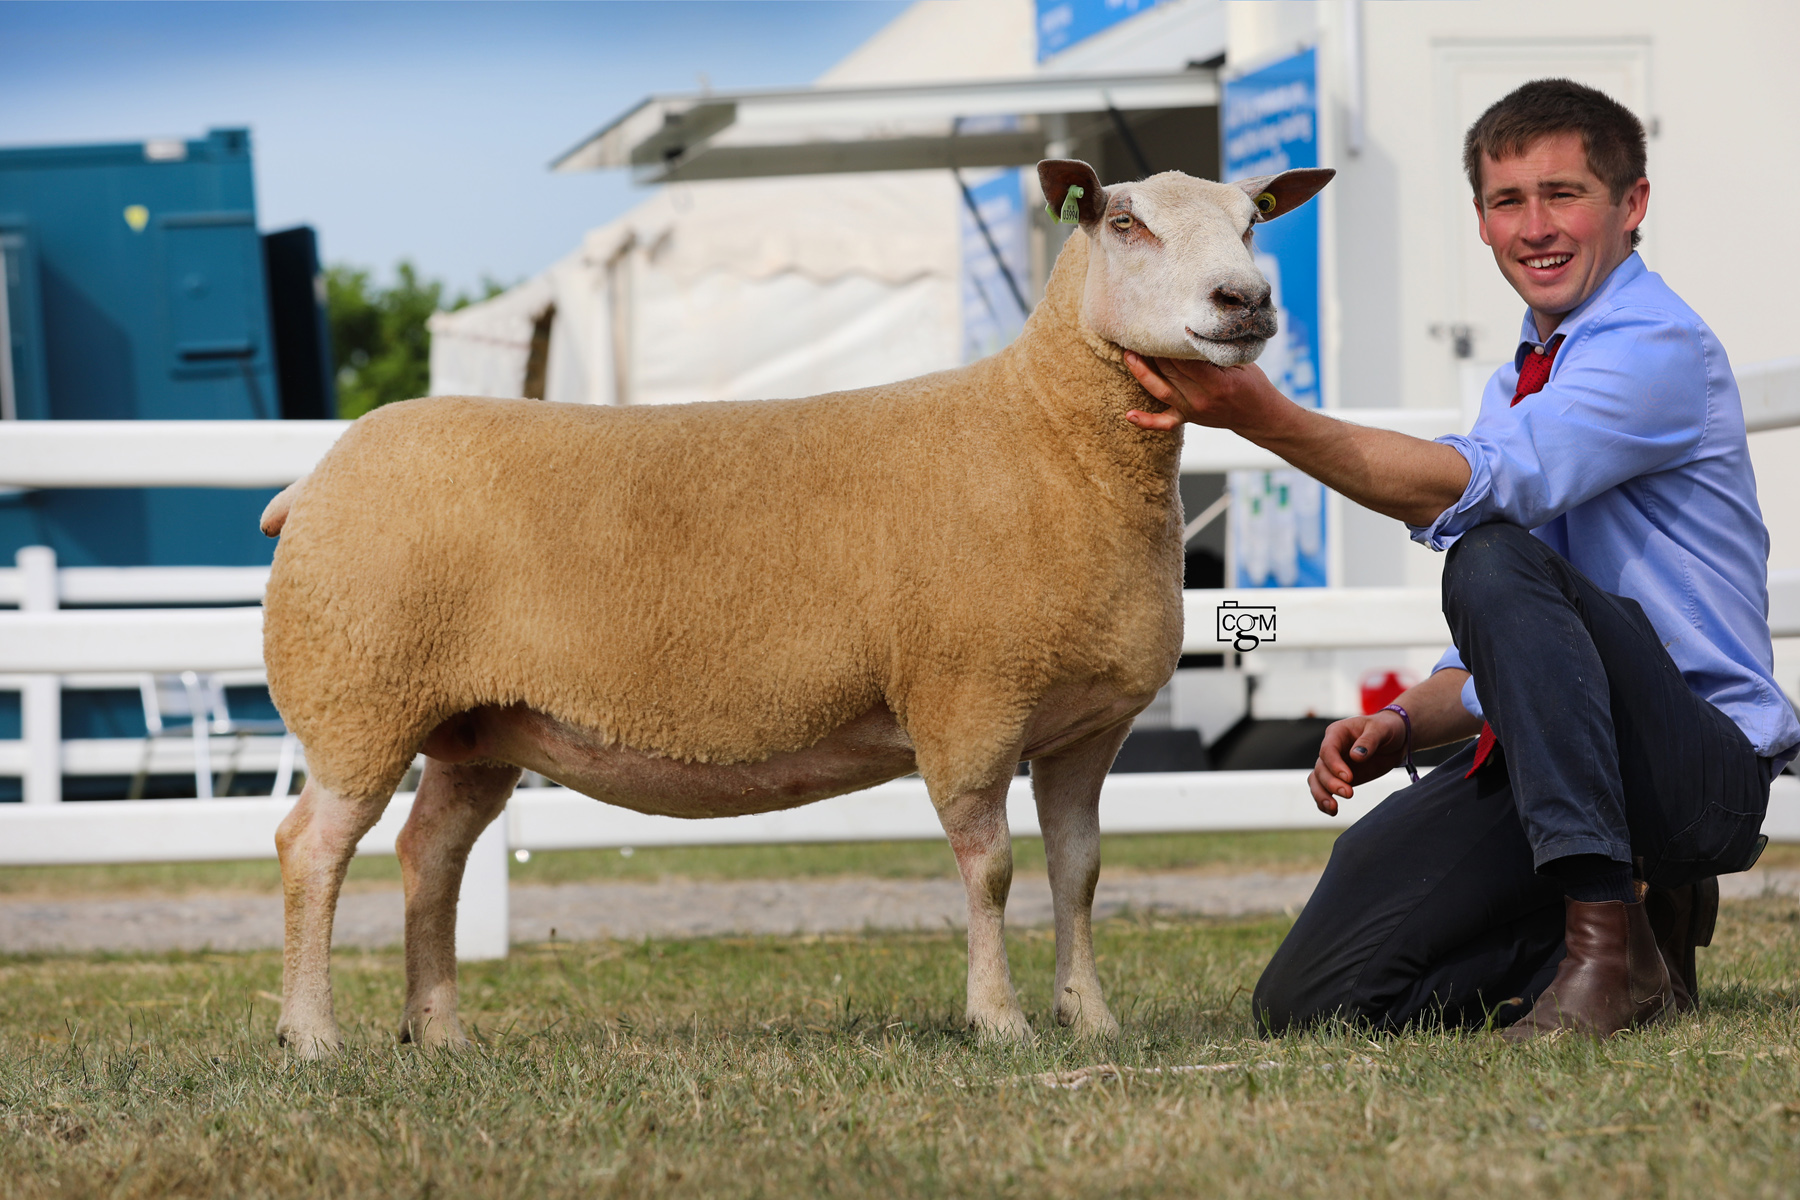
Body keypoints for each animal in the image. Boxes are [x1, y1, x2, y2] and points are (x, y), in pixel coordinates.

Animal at [261, 159, 1333, 1057]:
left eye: (1253, 221)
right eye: (1123, 221)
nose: (1246, 300)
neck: (1044, 435)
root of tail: (308, 483)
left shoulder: (1086, 727)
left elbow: (1081, 872)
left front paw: (1091, 1020)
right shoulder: (967, 701)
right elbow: (991, 870)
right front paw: (1000, 1022)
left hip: (476, 722)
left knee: (429, 852)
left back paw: (438, 1033)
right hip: (359, 695)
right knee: (312, 847)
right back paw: (313, 1036)